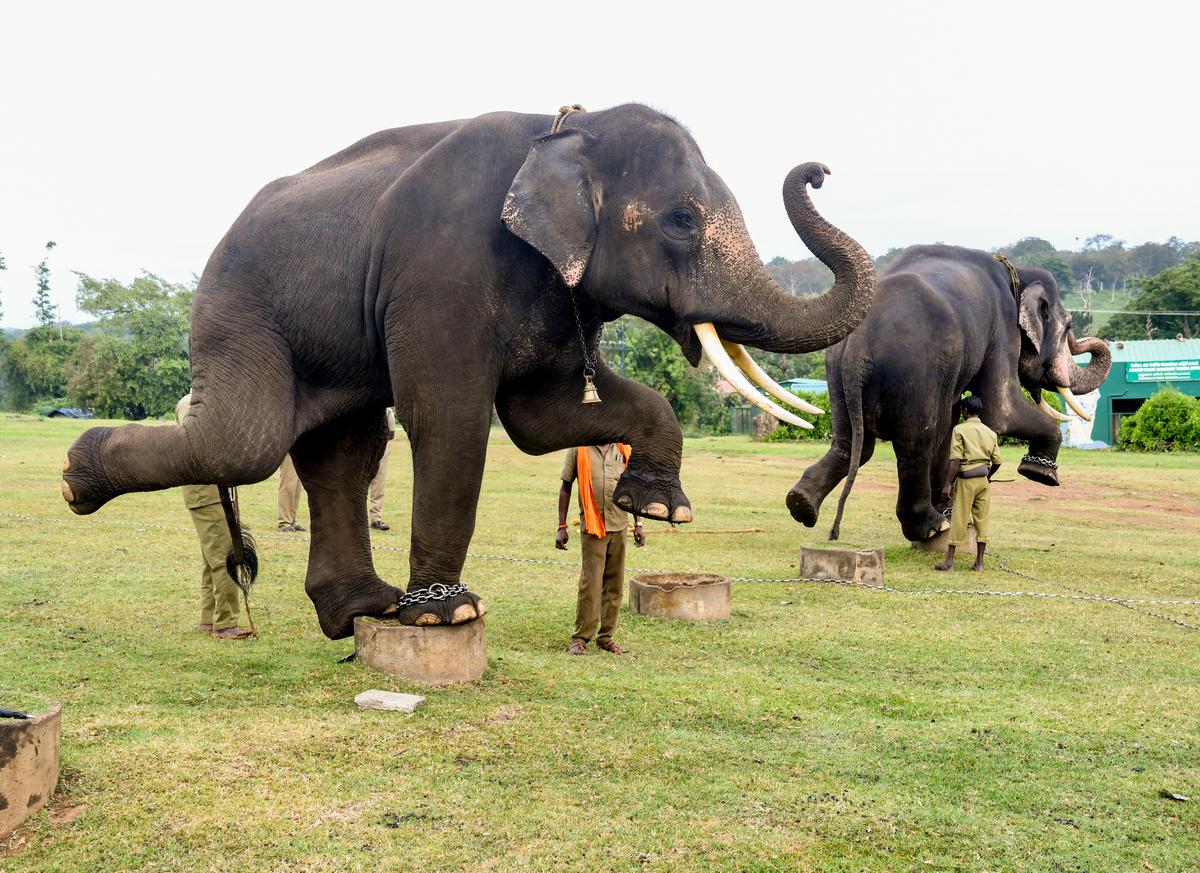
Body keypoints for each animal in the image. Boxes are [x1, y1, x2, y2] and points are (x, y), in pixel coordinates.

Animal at [61, 103, 876, 639]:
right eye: (681, 220)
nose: (820, 170)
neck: (567, 126)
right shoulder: (441, 266)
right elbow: (450, 418)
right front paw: (451, 613)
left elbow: (543, 416)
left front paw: (658, 508)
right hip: (238, 305)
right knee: (247, 441)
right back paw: (75, 476)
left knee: (338, 450)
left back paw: (361, 611)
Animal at [785, 244, 1111, 542]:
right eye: (1067, 326)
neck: (1017, 271)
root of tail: (858, 345)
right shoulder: (1002, 326)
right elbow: (1001, 412)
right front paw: (1040, 473)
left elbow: (957, 419)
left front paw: (952, 505)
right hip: (916, 369)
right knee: (917, 440)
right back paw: (931, 527)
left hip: (836, 370)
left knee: (853, 441)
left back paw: (802, 504)